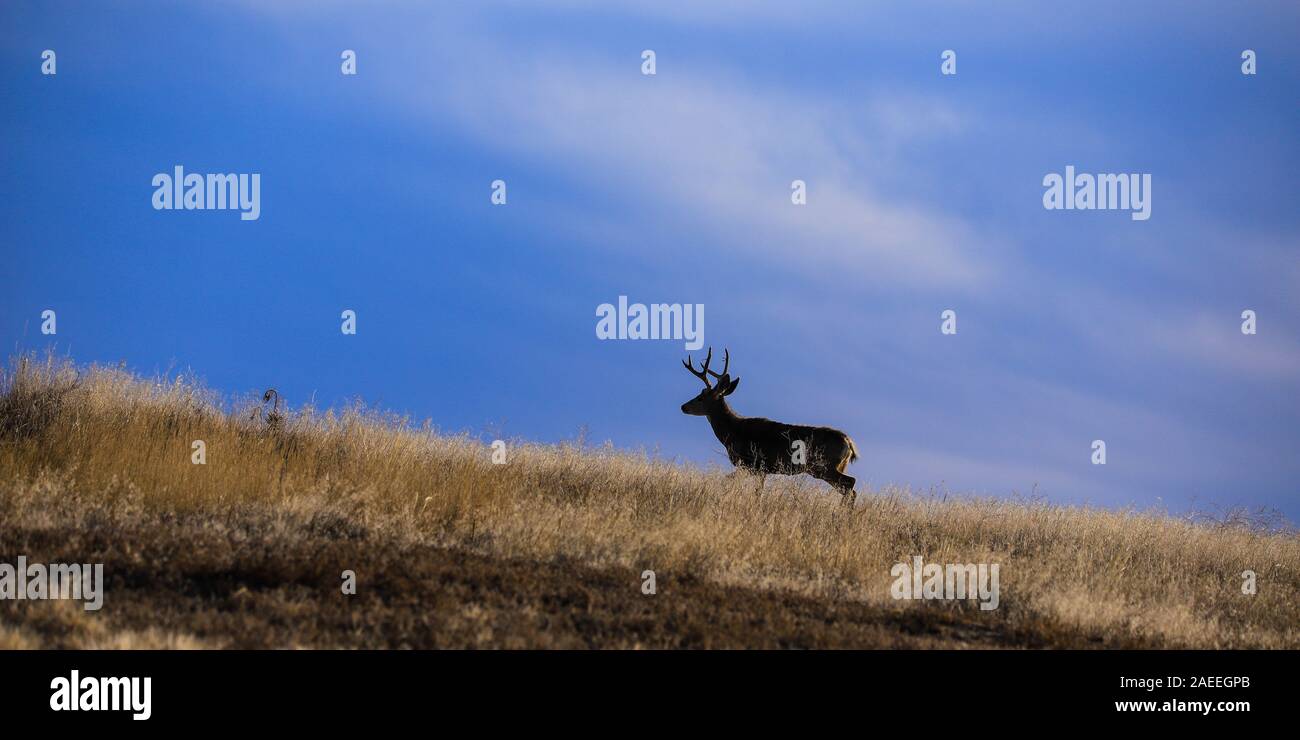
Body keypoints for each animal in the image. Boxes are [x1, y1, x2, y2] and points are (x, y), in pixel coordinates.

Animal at [680, 348, 860, 505]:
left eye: (701, 397)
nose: (683, 407)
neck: (733, 432)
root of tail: (849, 443)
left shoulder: (753, 463)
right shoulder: (762, 470)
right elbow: (757, 490)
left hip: (824, 466)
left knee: (850, 484)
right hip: (835, 467)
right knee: (850, 488)